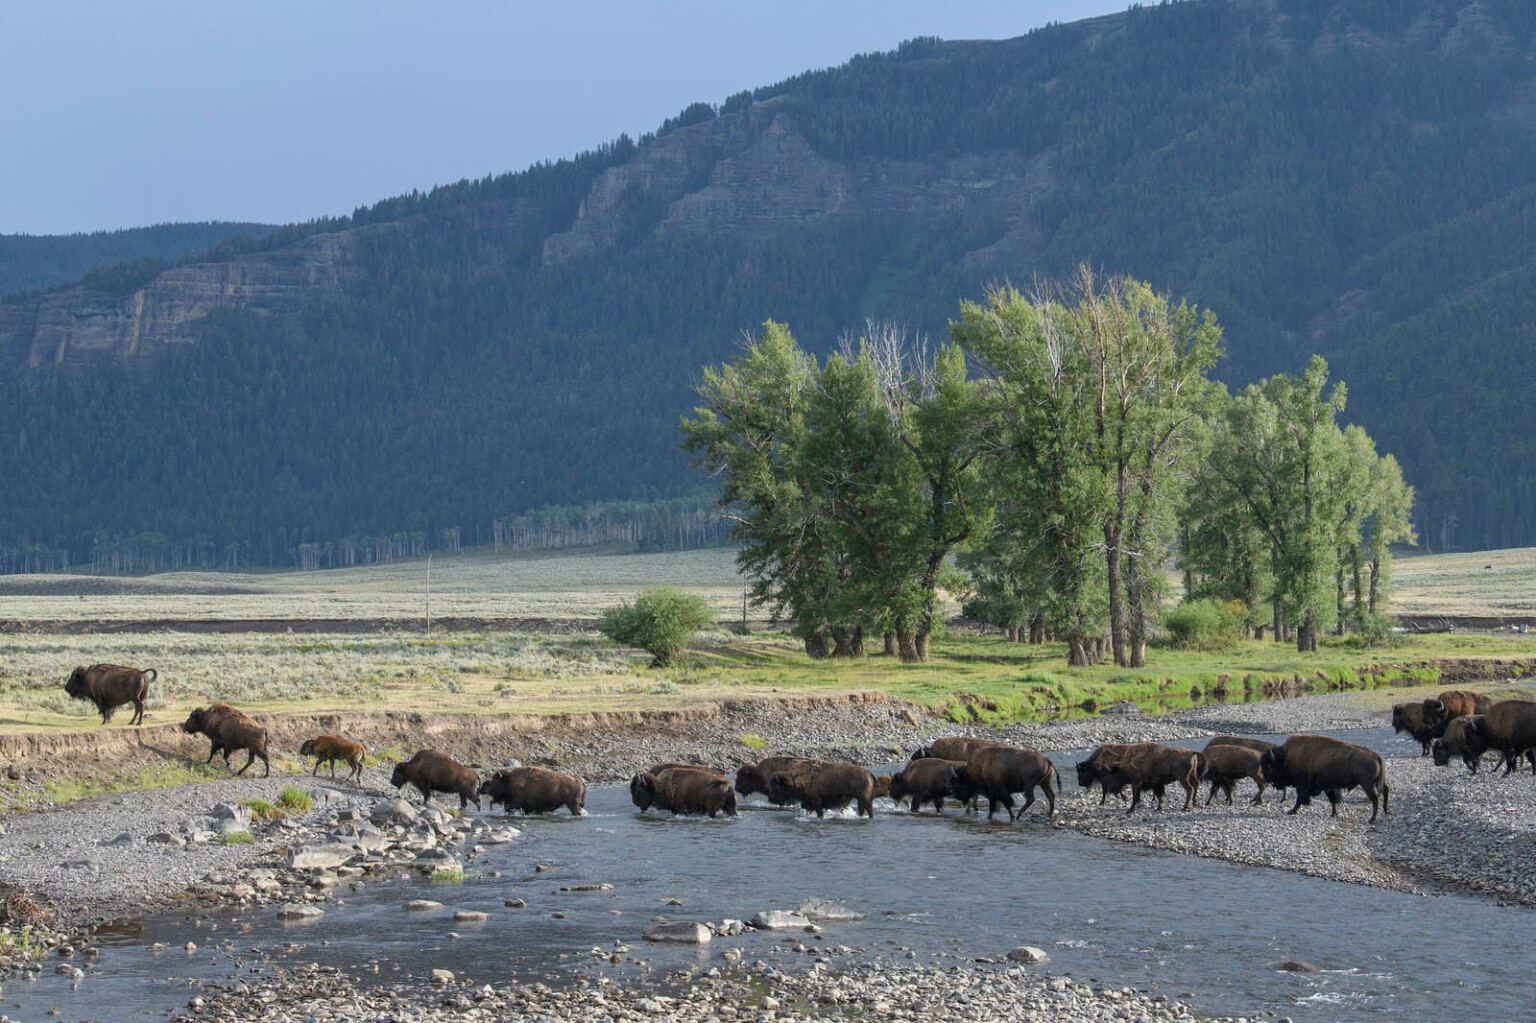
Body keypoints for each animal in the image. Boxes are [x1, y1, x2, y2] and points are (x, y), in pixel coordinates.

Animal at [1259, 735, 1388, 822]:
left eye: (1269, 765)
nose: (1266, 780)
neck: (1287, 757)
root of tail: (1376, 756)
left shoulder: (1303, 785)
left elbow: (1299, 798)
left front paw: (1292, 811)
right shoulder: (1328, 787)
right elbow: (1332, 800)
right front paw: (1333, 814)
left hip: (1368, 785)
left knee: (1375, 799)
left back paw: (1372, 819)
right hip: (1378, 783)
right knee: (1385, 791)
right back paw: (1386, 811)